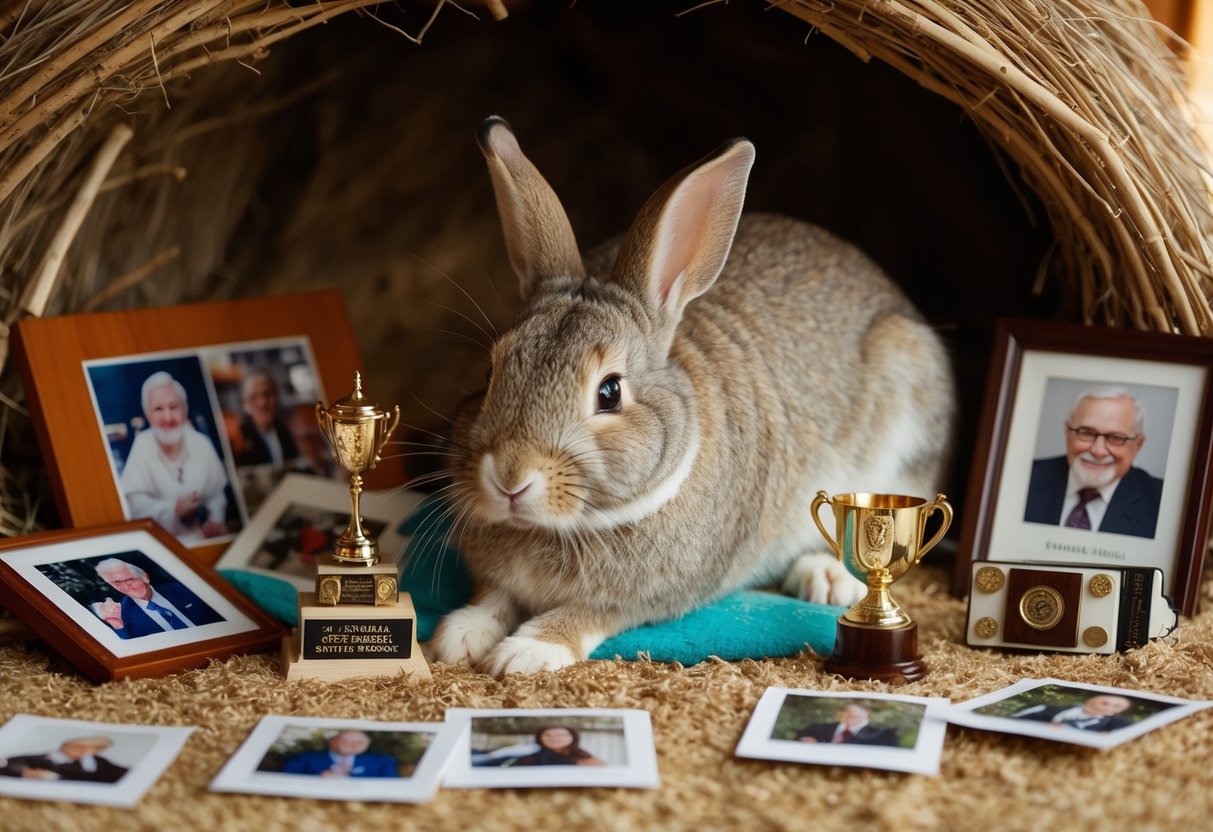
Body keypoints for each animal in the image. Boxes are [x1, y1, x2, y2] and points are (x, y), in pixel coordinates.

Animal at [428, 116, 955, 677]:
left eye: (609, 392)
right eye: (491, 372)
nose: (510, 478)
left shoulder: (647, 598)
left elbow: (583, 615)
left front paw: (524, 654)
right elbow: (492, 597)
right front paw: (458, 638)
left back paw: (824, 577)